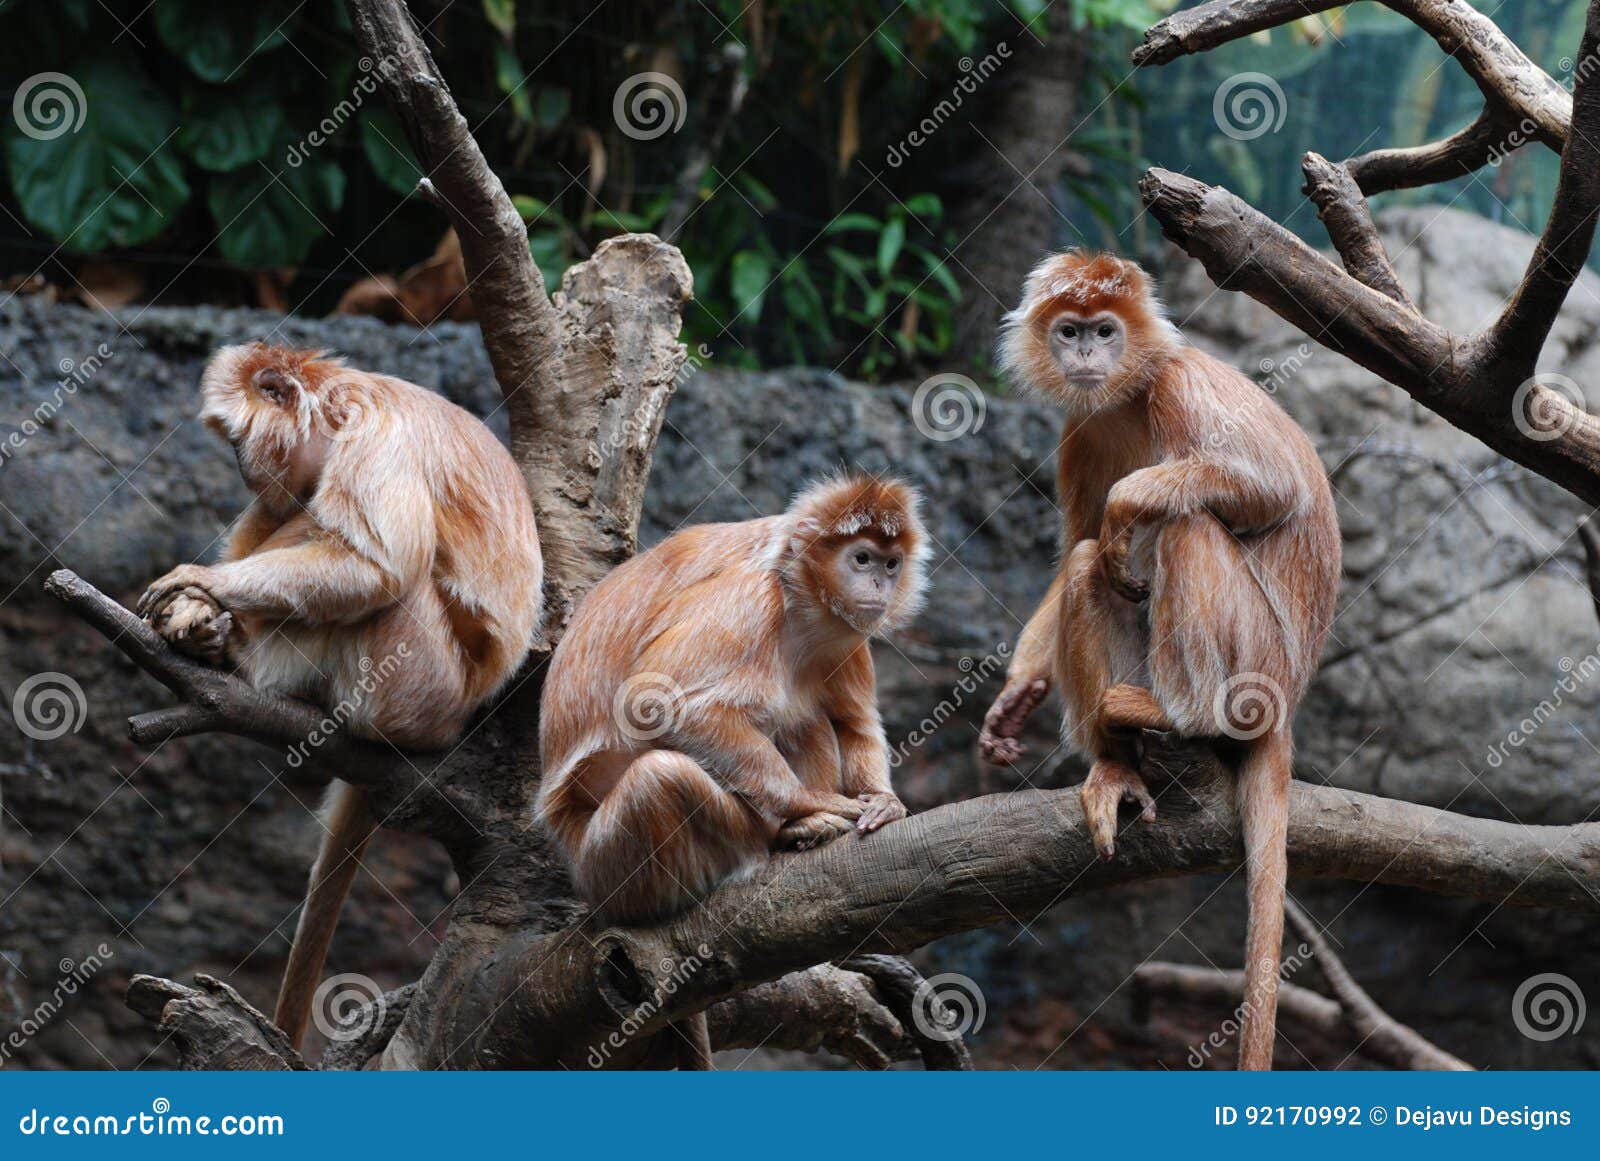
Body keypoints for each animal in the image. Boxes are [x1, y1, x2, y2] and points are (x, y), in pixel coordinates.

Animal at [137, 343, 543, 1051]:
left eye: (236, 442)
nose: (241, 468)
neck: (342, 401)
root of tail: (461, 717)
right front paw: (196, 604)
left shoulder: (380, 441)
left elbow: (377, 568)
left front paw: (198, 585)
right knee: (295, 513)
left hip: (413, 684)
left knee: (382, 574)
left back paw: (241, 654)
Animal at [536, 473, 927, 1068]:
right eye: (861, 558)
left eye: (890, 563)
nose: (879, 583)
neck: (798, 598)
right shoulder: (749, 597)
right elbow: (661, 704)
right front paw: (811, 805)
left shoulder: (846, 633)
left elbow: (854, 722)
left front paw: (882, 800)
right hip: (606, 869)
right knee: (661, 775)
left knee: (806, 714)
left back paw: (794, 835)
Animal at [977, 252, 1340, 1070]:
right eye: (1070, 330)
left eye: (1106, 330)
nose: (1086, 352)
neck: (1128, 399)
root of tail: (1291, 703)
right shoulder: (1081, 429)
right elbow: (1077, 547)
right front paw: (1018, 692)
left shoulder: (1182, 381)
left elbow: (1270, 485)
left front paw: (1129, 500)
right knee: (1091, 564)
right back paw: (1116, 763)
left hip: (1257, 668)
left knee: (1188, 523)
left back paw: (1186, 714)